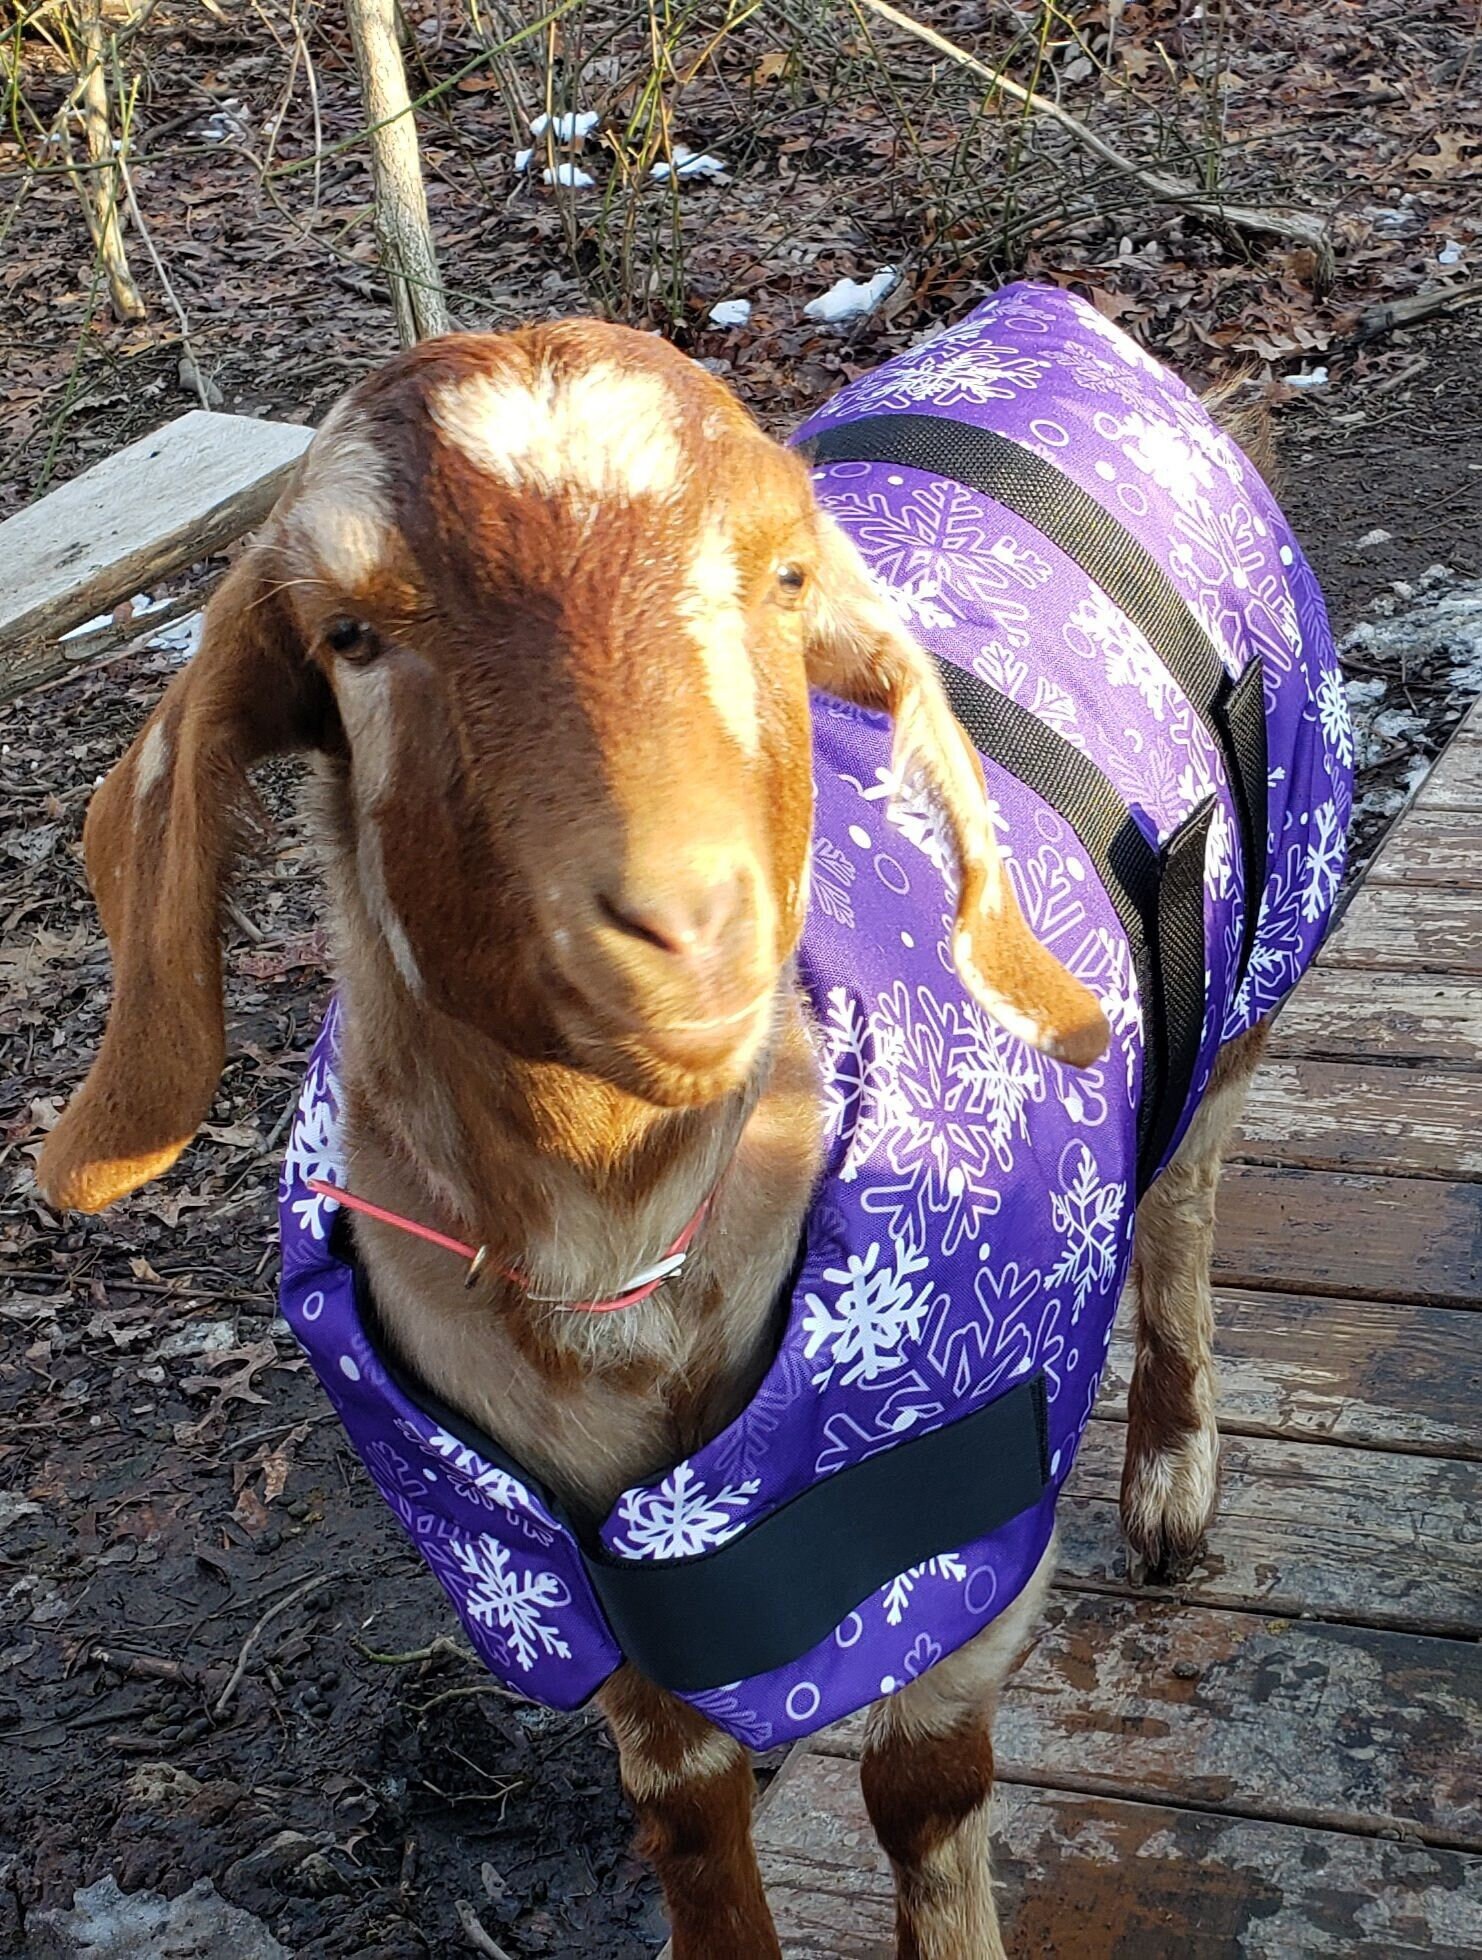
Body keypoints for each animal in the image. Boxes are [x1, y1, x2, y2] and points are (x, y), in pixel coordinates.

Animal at [38, 288, 1350, 1956]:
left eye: (781, 577)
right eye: (351, 635)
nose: (686, 918)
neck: (621, 1266)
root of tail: (1048, 316)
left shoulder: (948, 1544)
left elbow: (922, 1796)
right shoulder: (581, 1605)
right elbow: (688, 1830)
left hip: (1248, 942)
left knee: (1184, 1195)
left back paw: (1172, 1477)